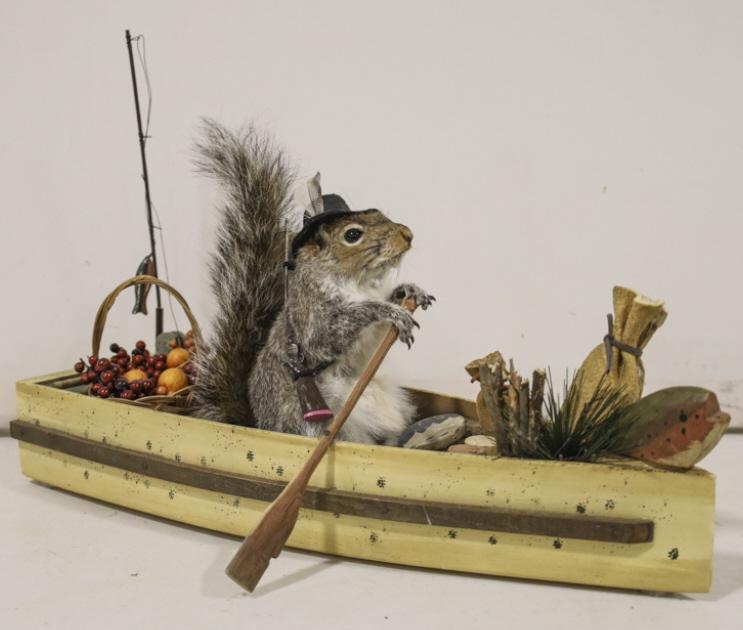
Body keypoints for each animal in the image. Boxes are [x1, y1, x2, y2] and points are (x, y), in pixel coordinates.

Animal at [192, 120, 434, 444]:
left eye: (378, 213)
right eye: (352, 235)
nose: (407, 234)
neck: (359, 282)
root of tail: (258, 424)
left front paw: (410, 291)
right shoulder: (313, 321)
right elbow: (336, 329)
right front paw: (391, 312)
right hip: (311, 422)